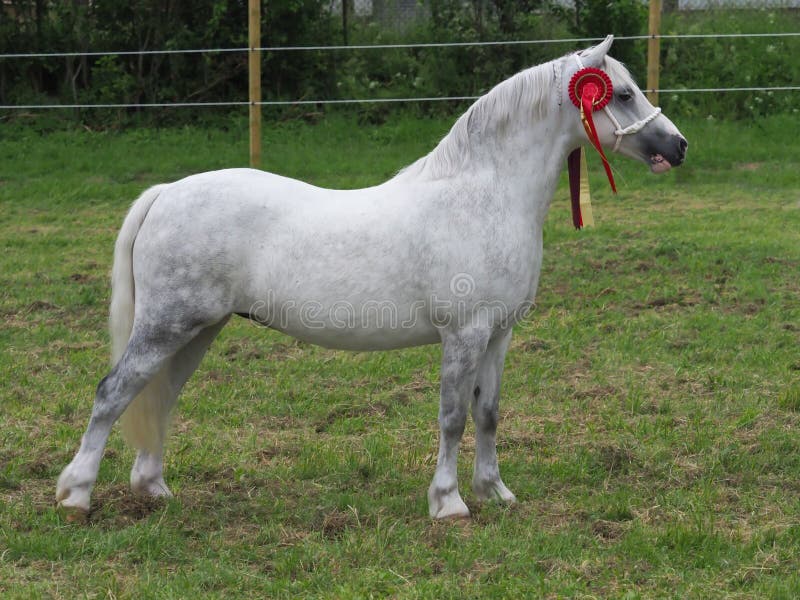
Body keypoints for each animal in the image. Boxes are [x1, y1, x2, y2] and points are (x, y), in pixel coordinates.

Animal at [56, 36, 687, 521]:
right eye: (622, 94)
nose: (677, 147)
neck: (481, 196)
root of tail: (166, 193)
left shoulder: (499, 335)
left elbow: (487, 414)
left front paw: (495, 493)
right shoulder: (463, 336)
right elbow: (452, 417)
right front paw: (449, 503)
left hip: (198, 330)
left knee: (157, 396)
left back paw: (154, 490)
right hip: (166, 324)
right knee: (114, 392)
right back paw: (76, 496)